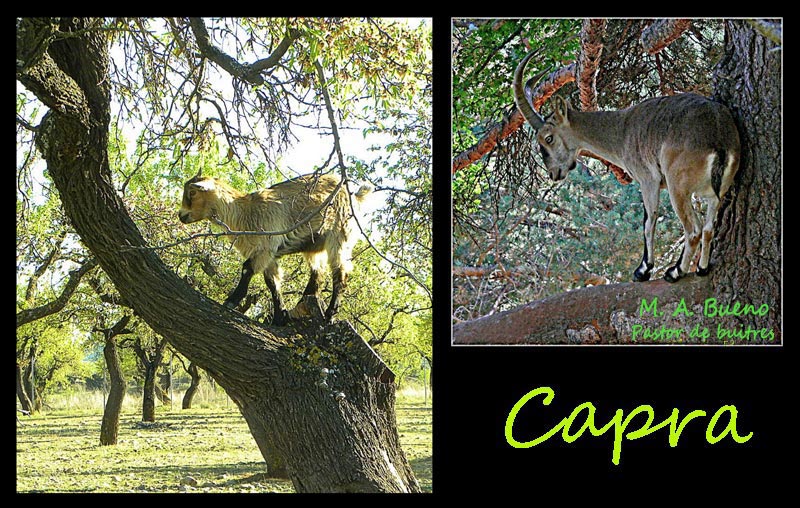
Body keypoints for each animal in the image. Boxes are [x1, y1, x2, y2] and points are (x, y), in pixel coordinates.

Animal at [178, 172, 372, 325]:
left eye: (192, 192)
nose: (181, 216)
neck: (244, 212)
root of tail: (355, 196)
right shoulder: (269, 255)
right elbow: (272, 282)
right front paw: (280, 317)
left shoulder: (265, 247)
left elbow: (247, 269)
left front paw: (231, 301)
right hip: (314, 243)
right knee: (319, 271)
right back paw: (303, 302)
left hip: (341, 233)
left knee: (340, 271)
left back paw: (330, 314)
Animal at [512, 49, 740, 282]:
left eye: (548, 138)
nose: (553, 173)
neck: (622, 131)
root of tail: (718, 138)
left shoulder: (648, 180)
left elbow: (648, 221)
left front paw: (643, 270)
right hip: (714, 192)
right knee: (708, 227)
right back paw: (702, 268)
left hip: (678, 187)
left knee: (693, 229)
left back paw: (675, 272)